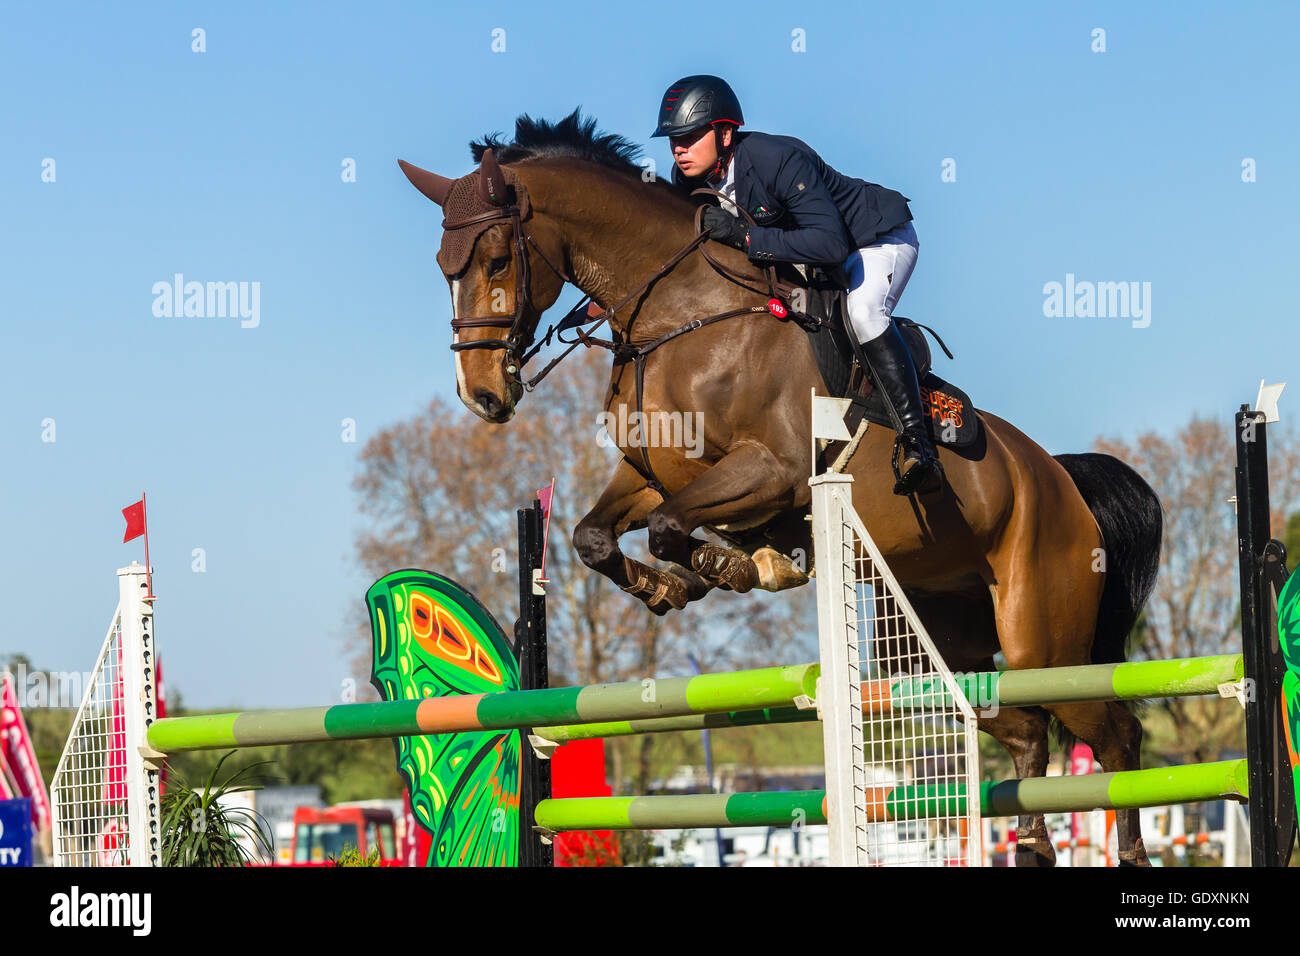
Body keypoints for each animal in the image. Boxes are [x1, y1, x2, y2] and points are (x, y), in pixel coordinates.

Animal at [399, 111, 1163, 866]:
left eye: (497, 261)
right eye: (442, 268)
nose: (483, 396)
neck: (676, 312)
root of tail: (1061, 478)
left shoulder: (771, 471)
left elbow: (673, 528)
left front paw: (738, 566)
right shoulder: (651, 474)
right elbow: (596, 537)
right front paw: (670, 585)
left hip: (1042, 637)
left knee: (1114, 731)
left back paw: (1130, 852)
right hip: (946, 642)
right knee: (1027, 729)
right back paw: (1032, 844)